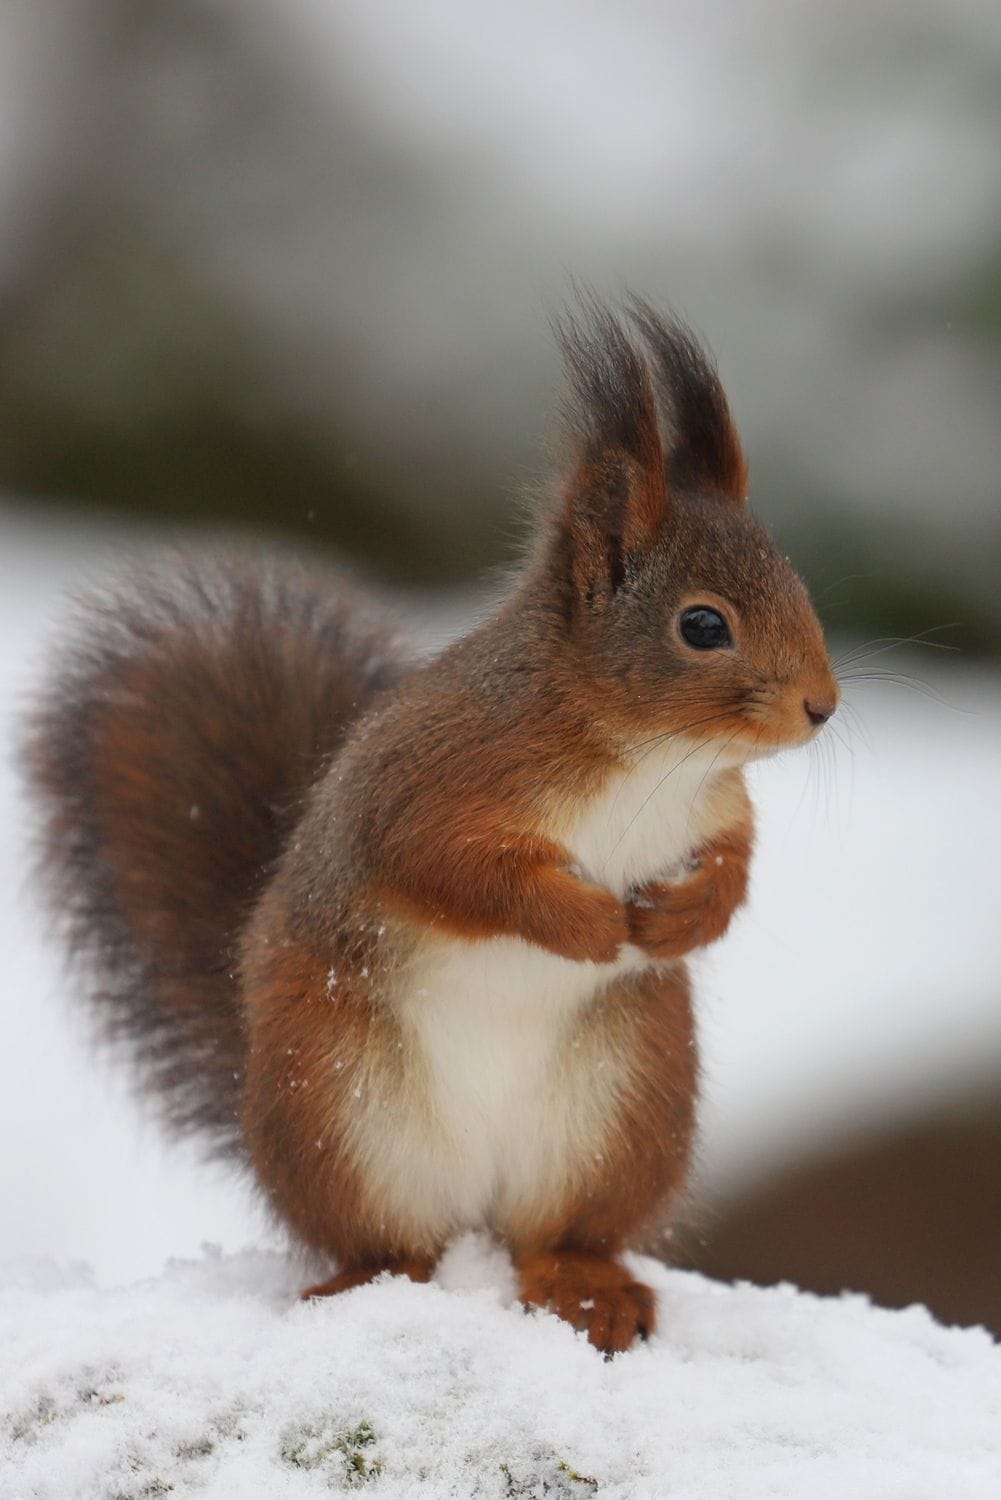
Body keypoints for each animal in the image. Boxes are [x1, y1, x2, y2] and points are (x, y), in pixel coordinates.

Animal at [25, 297, 838, 1354]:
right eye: (703, 626)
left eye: (797, 585)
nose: (822, 707)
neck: (641, 755)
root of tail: (477, 1209)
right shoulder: (428, 789)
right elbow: (454, 873)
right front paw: (586, 922)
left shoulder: (717, 807)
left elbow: (733, 866)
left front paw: (680, 920)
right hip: (337, 1106)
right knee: (386, 1243)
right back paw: (371, 1286)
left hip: (623, 1109)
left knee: (556, 1237)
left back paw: (587, 1288)